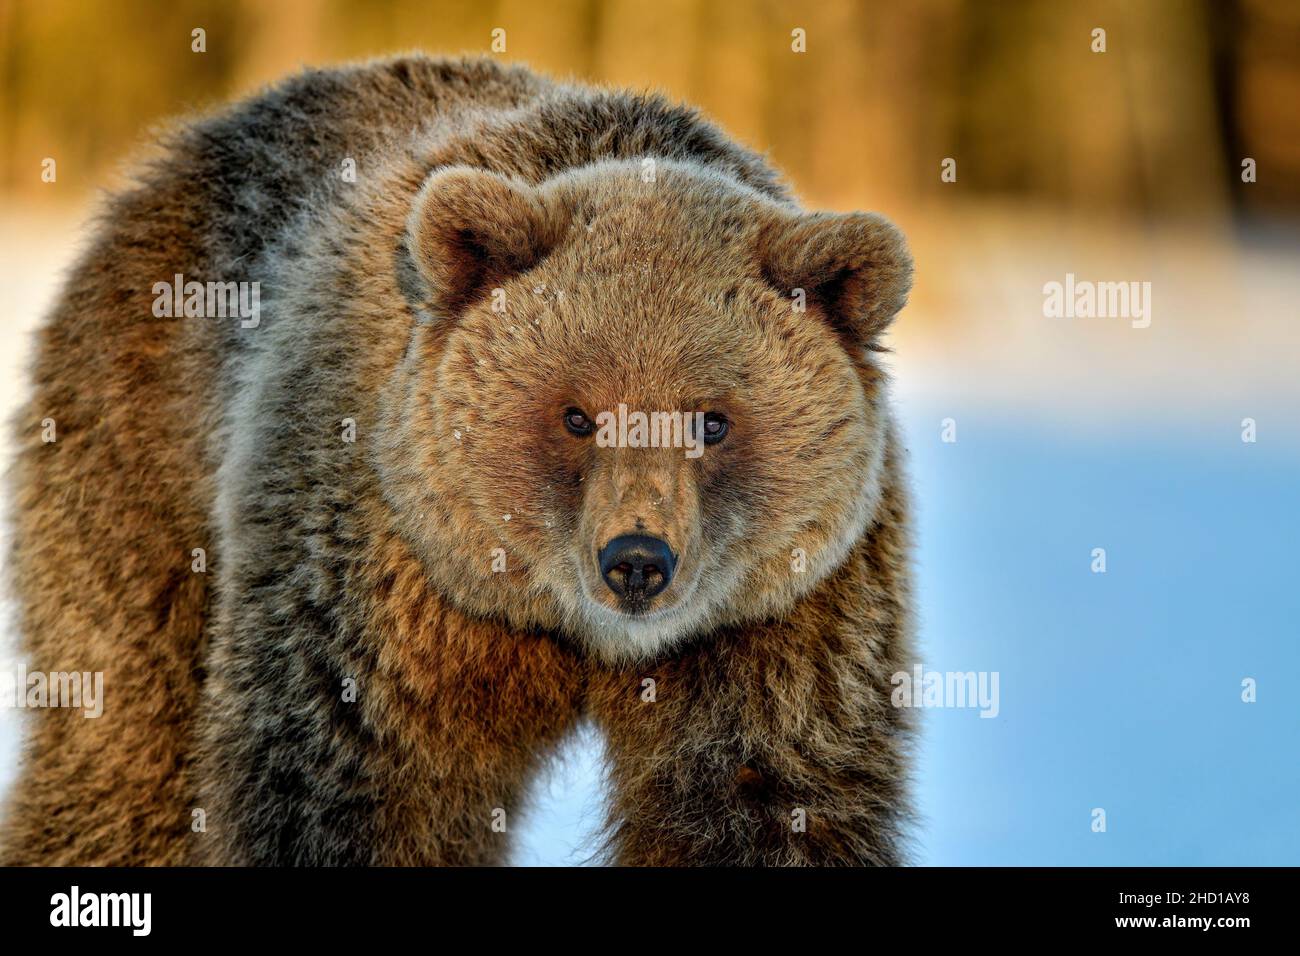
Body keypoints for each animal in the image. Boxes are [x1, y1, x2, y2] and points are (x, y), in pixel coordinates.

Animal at [1, 54, 915, 866]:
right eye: (577, 414)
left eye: (712, 420)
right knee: (125, 744)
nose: (636, 561)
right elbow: (349, 783)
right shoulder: (383, 581)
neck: (563, 628)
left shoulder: (781, 617)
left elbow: (762, 798)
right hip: (142, 459)